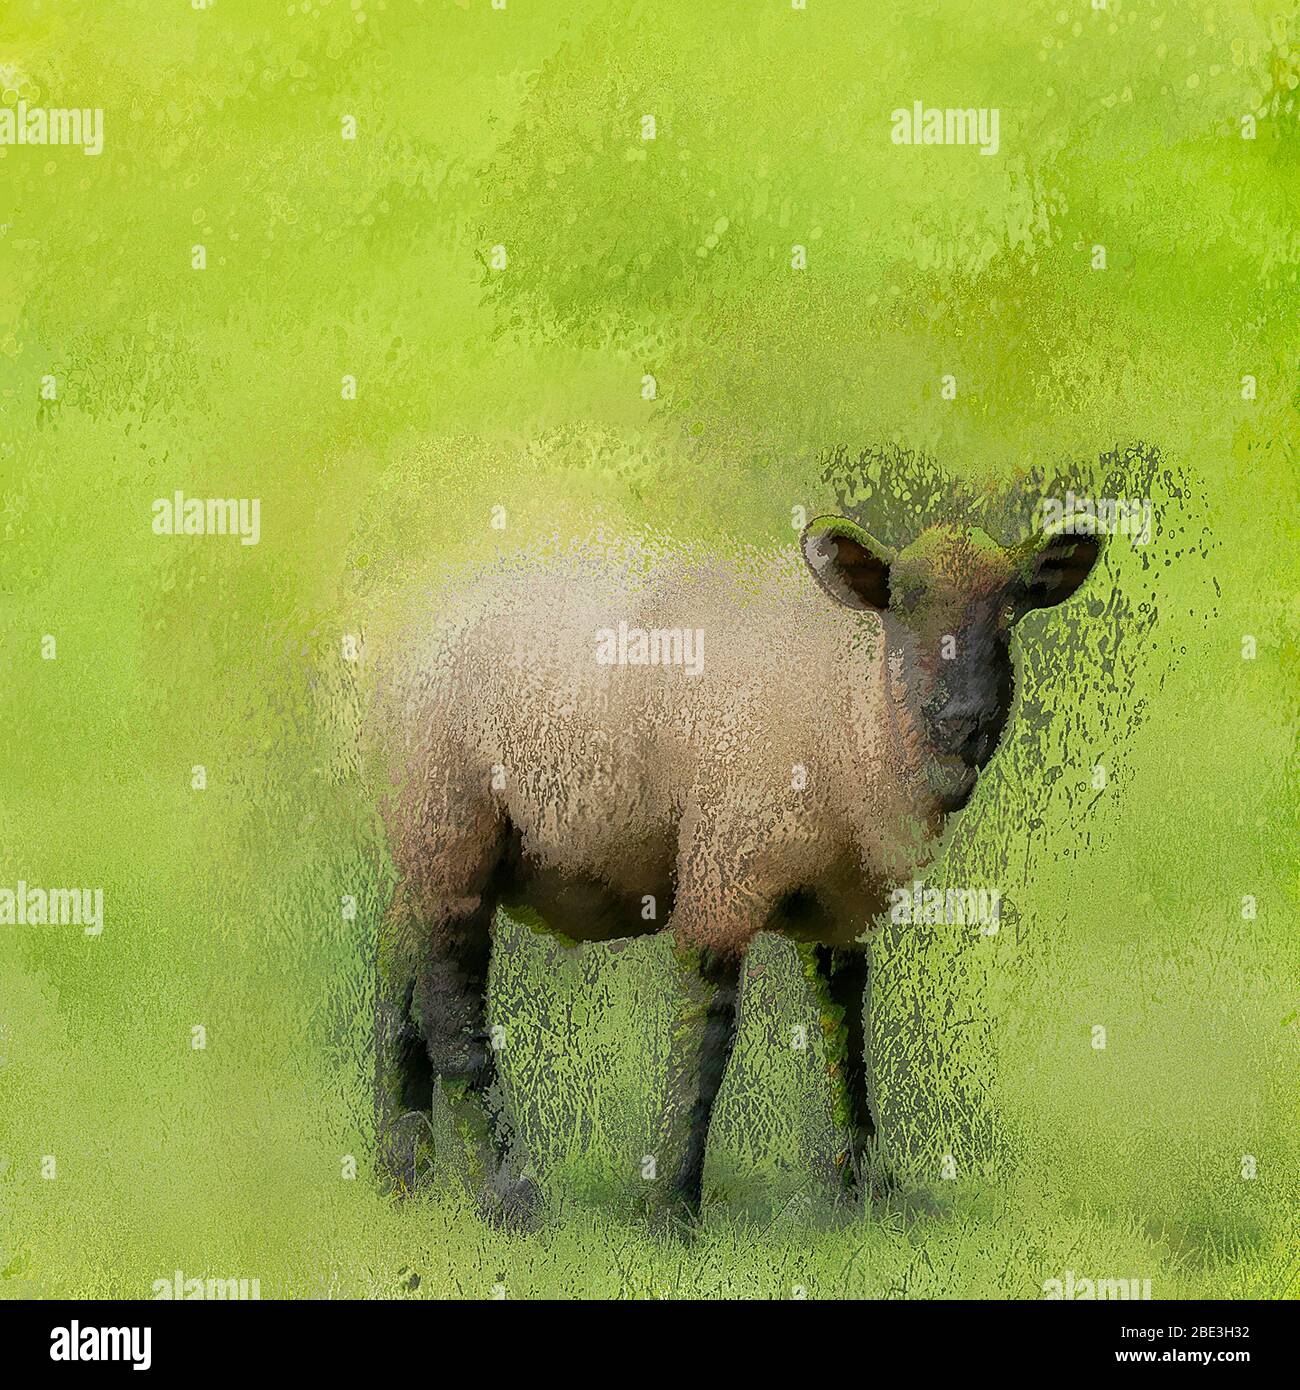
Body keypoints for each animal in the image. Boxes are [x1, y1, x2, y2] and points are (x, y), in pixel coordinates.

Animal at [369, 513, 1105, 1223]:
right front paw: (668, 1210)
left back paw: (402, 1173)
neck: (854, 717)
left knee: (395, 974)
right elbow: (707, 1038)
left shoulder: (840, 908)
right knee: (449, 1002)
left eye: (1011, 611)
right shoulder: (723, 870)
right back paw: (506, 1196)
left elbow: (846, 1029)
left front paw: (864, 1187)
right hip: (453, 821)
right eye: (900, 606)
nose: (963, 723)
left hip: (424, 845)